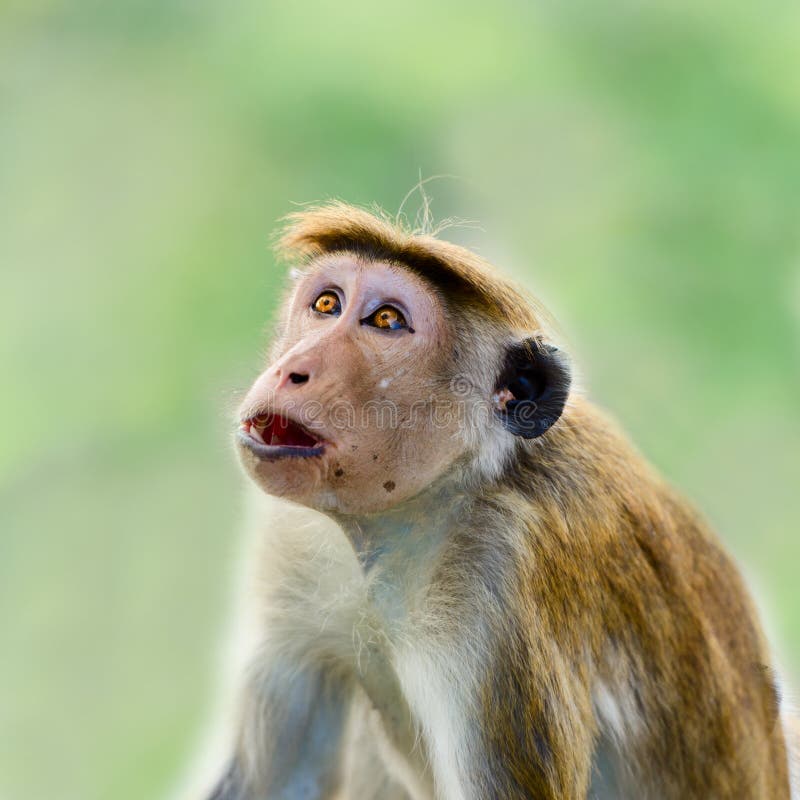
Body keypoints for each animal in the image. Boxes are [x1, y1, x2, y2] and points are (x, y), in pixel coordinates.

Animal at [193, 201, 798, 799]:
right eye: (326, 303)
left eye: (386, 321)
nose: (292, 369)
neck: (416, 513)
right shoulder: (295, 547)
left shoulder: (499, 583)